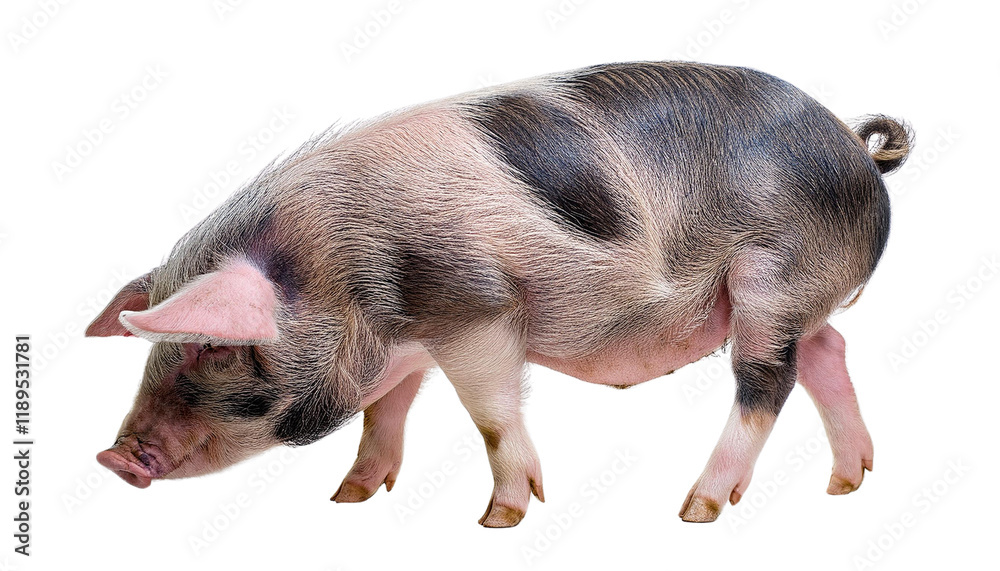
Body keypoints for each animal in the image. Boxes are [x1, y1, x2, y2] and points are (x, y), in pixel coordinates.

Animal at [86, 61, 911, 526]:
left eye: (211, 346)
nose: (114, 456)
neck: (339, 266)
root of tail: (853, 143)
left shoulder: (478, 309)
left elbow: (488, 413)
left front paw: (500, 519)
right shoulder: (411, 339)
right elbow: (387, 409)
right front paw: (348, 499)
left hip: (771, 278)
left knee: (766, 382)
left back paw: (696, 509)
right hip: (792, 296)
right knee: (828, 349)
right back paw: (847, 483)